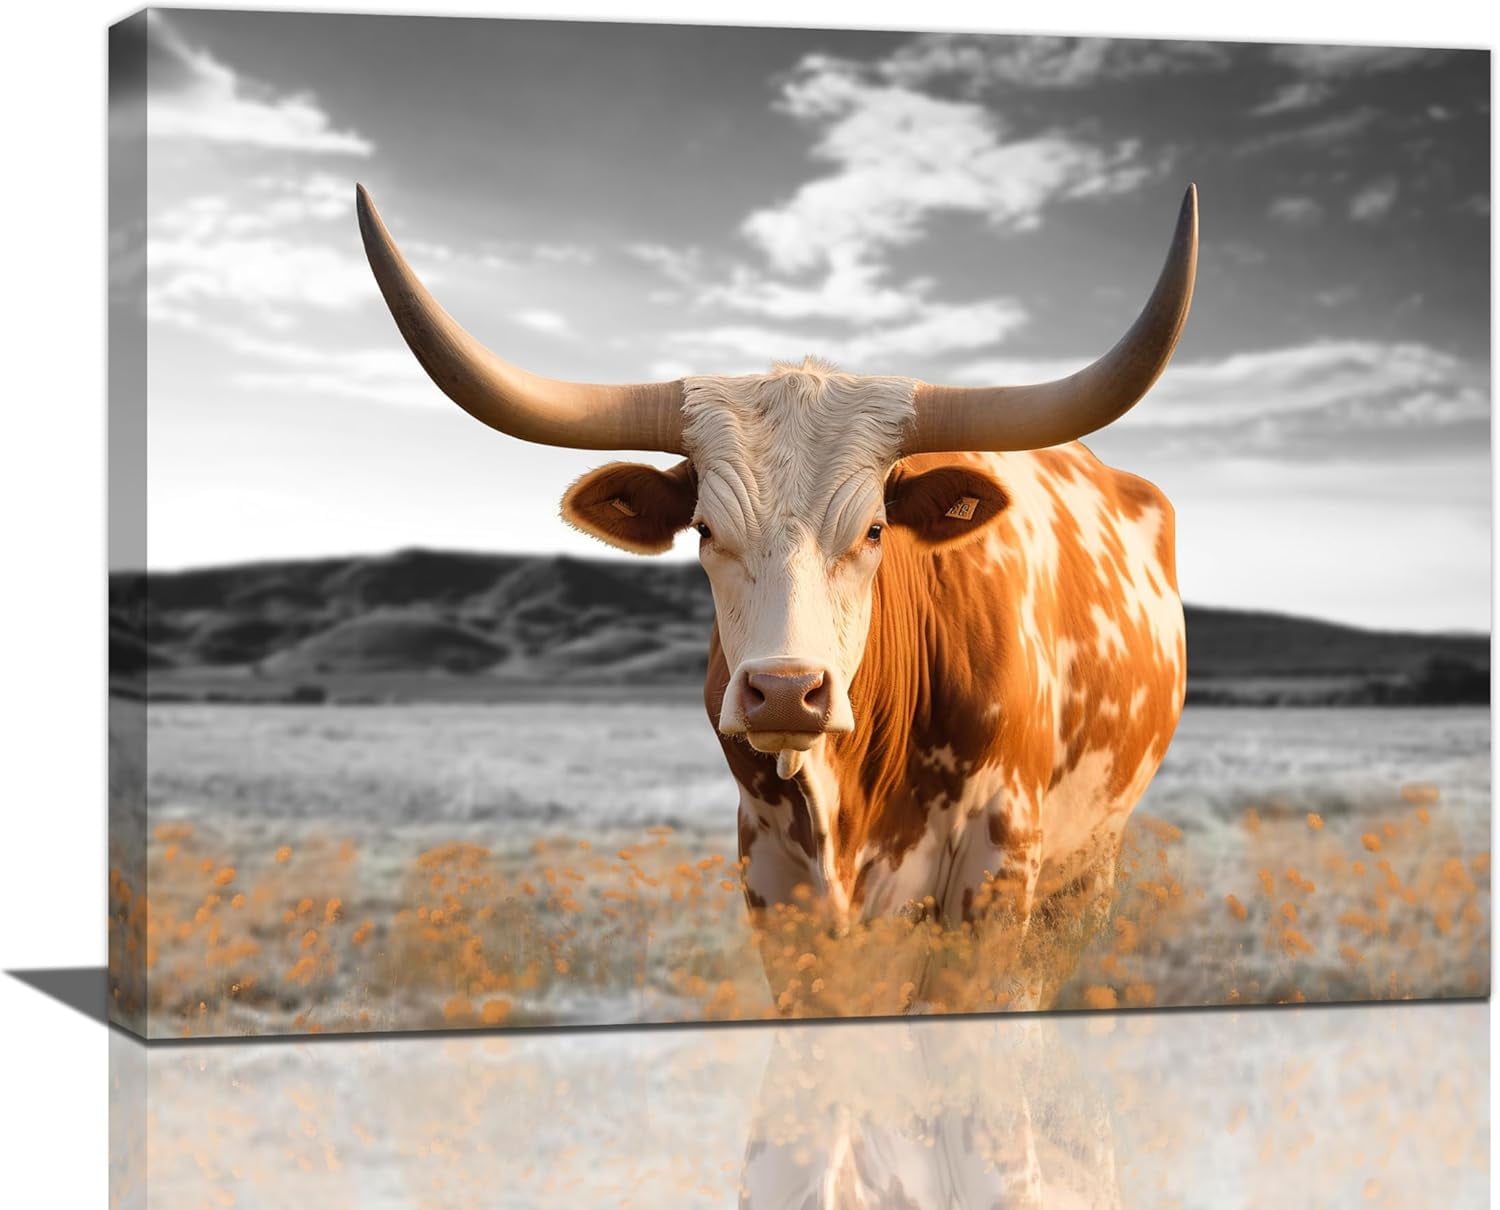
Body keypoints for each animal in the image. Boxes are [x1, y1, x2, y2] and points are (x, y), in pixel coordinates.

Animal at [357, 183, 1196, 1013]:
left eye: (874, 529)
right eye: (704, 528)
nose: (787, 692)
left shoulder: (996, 872)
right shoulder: (772, 877)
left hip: (1080, 877)